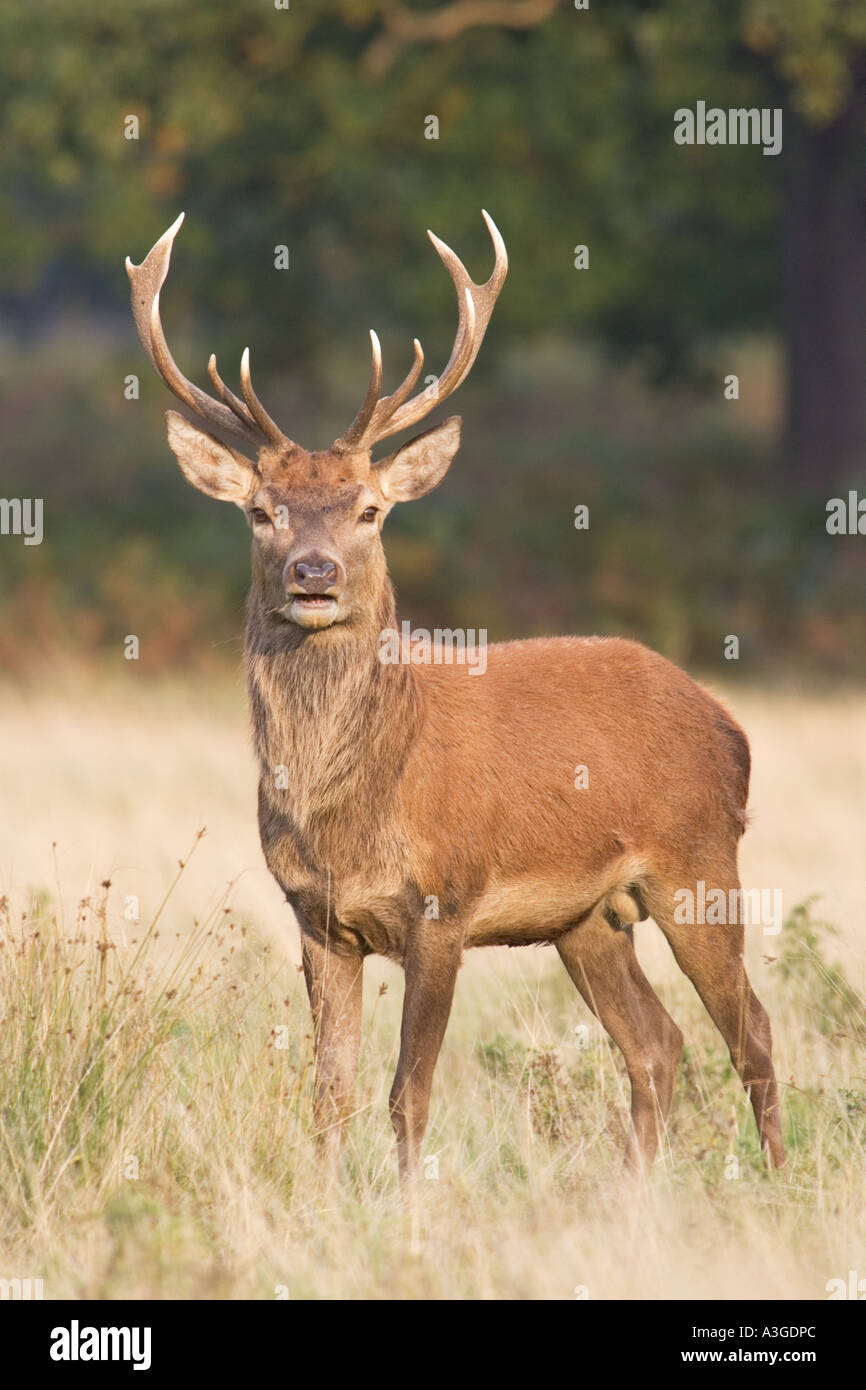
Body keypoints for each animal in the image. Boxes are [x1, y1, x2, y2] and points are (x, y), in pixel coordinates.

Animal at [127, 212, 785, 1178]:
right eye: (260, 510)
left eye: (369, 510)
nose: (313, 574)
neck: (348, 811)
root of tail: (728, 722)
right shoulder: (316, 917)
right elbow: (328, 1093)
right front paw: (327, 1199)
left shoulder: (443, 903)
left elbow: (409, 1093)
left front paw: (405, 1202)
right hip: (588, 919)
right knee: (657, 1043)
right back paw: (635, 1193)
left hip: (700, 861)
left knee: (752, 1032)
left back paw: (775, 1180)